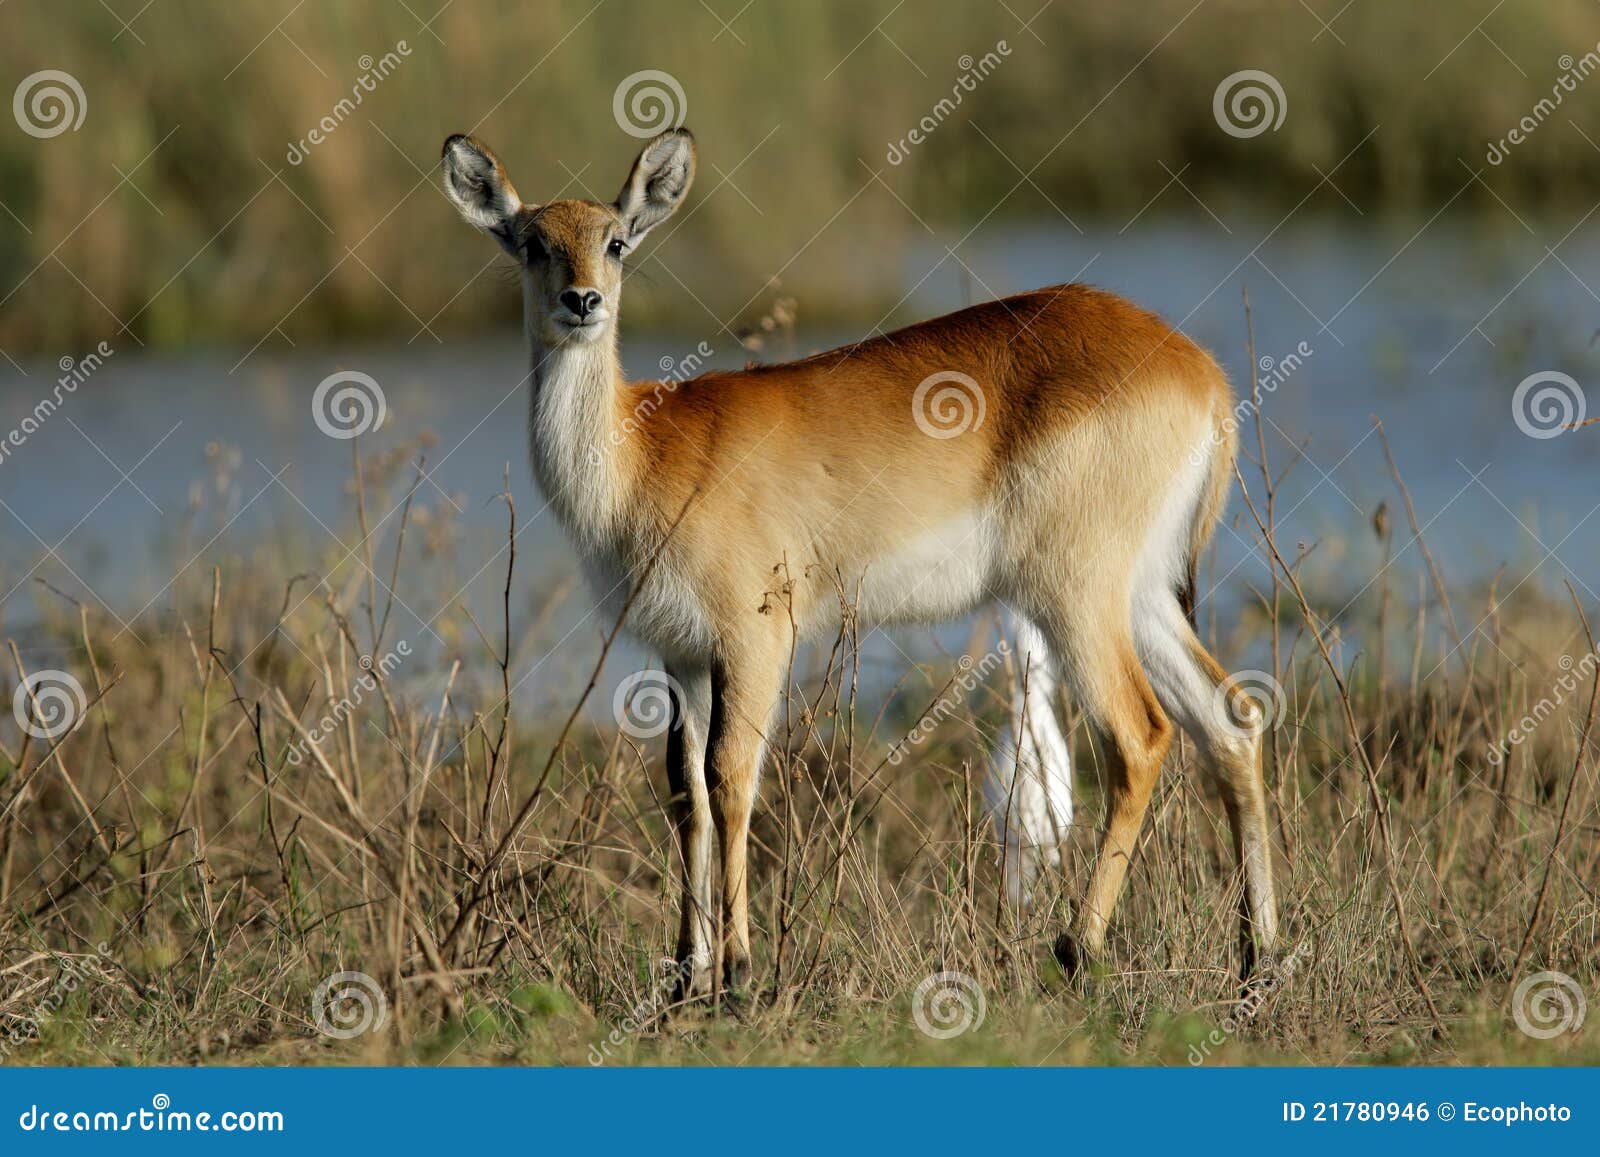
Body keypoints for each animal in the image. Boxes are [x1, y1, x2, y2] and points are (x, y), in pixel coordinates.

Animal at [441, 126, 1278, 1002]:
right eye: (533, 242)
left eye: (615, 241)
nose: (582, 302)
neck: (645, 450)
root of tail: (1200, 371)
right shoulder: (682, 650)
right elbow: (685, 789)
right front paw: (684, 976)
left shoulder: (756, 637)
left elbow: (731, 775)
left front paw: (738, 974)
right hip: (1141, 596)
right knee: (1231, 718)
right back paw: (1259, 961)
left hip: (1076, 597)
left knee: (1141, 734)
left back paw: (1078, 948)